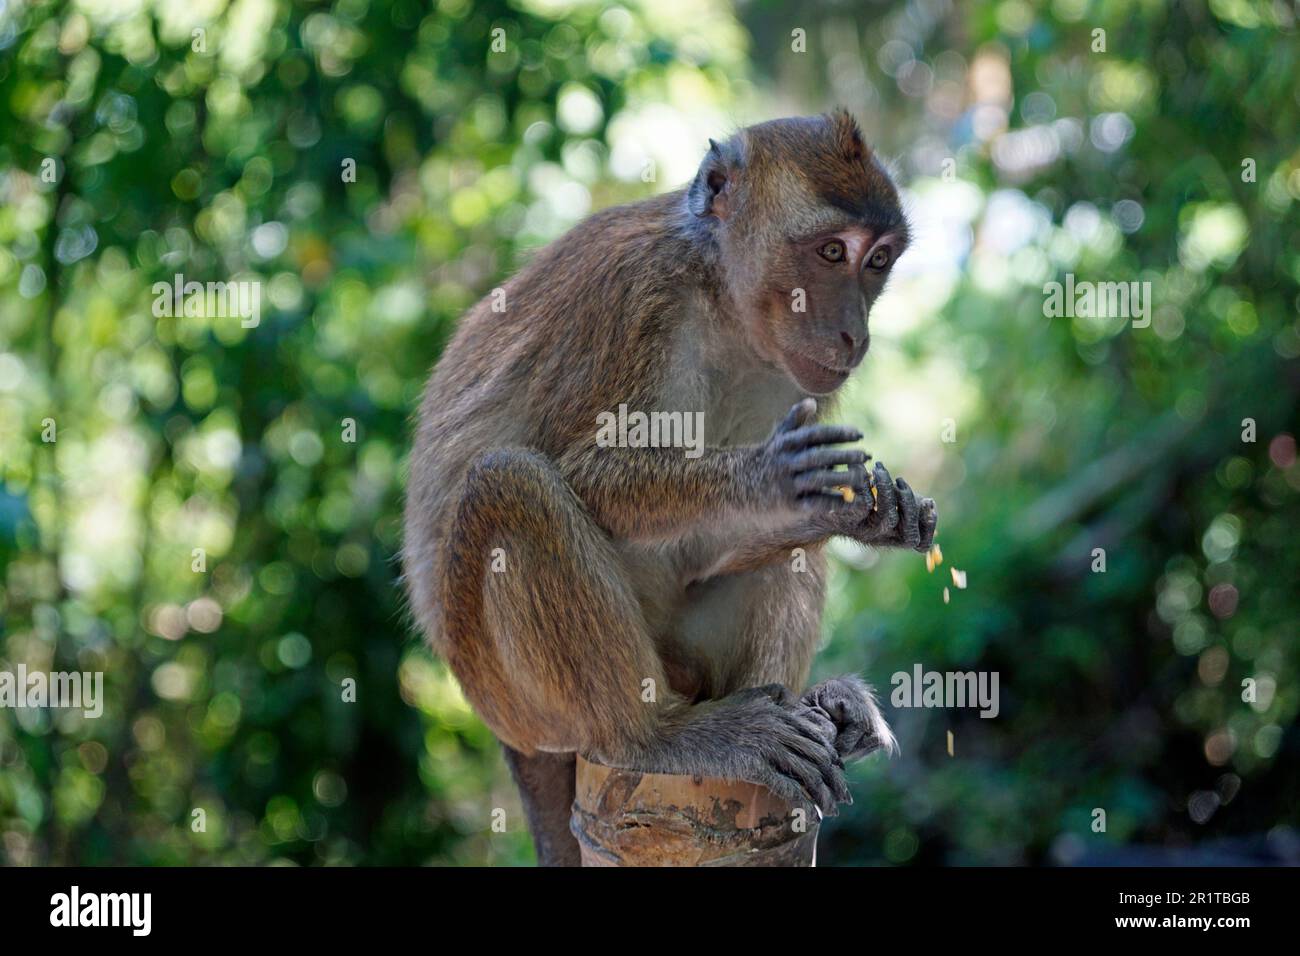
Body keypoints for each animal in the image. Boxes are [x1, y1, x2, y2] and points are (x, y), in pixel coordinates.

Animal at [402, 110, 937, 866]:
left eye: (879, 260)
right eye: (832, 251)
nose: (853, 333)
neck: (721, 299)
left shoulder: (799, 380)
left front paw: (870, 511)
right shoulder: (635, 296)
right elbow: (582, 472)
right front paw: (769, 479)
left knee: (781, 554)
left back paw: (815, 706)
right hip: (511, 694)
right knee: (511, 484)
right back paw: (655, 737)